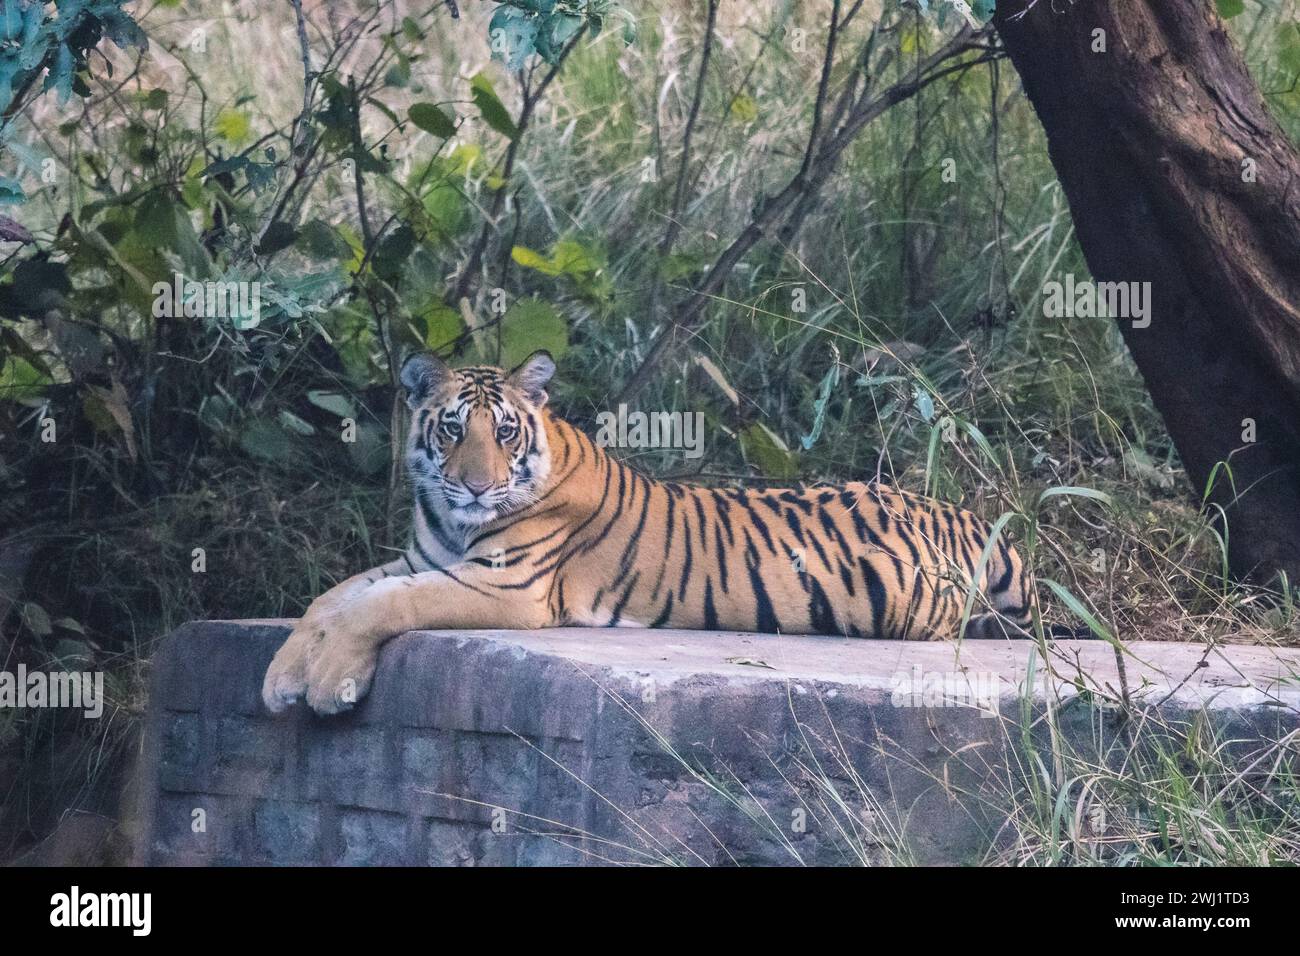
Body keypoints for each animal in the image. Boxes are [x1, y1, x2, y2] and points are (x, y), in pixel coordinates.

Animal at [262, 350, 1043, 715]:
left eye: (505, 431)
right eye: (452, 429)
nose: (479, 486)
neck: (453, 522)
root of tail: (967, 516)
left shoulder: (507, 587)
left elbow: (382, 605)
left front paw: (327, 685)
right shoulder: (416, 559)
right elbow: (331, 599)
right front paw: (282, 680)